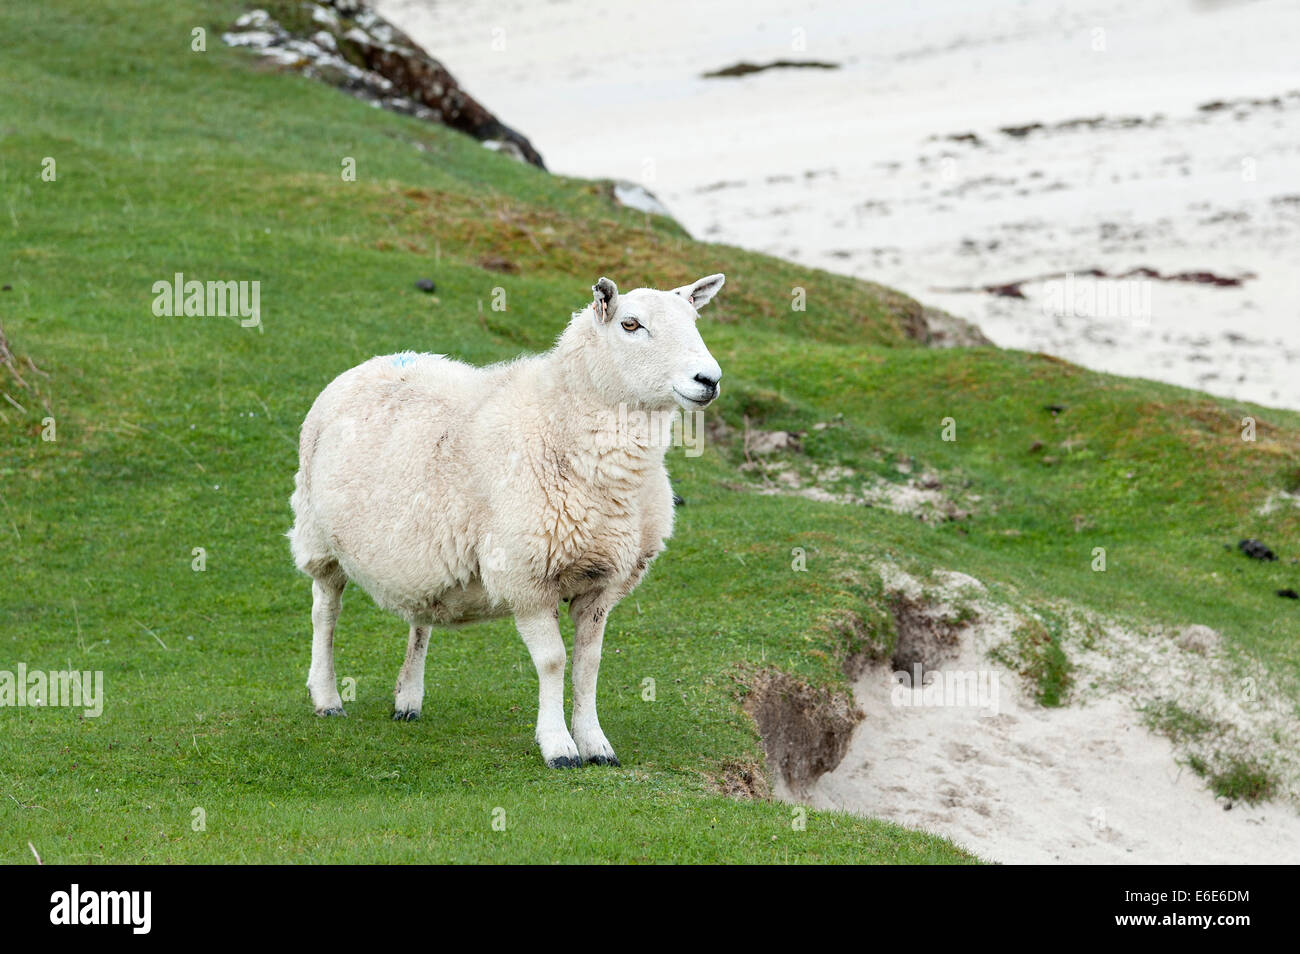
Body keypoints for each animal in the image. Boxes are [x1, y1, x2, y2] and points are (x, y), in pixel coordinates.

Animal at [288, 273, 726, 767]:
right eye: (631, 324)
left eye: (694, 320)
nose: (709, 380)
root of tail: (378, 361)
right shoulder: (527, 577)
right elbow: (554, 661)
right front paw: (558, 746)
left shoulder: (603, 582)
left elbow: (588, 665)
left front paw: (595, 743)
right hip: (317, 535)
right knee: (325, 610)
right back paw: (327, 698)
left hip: (424, 548)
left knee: (419, 620)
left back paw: (408, 699)